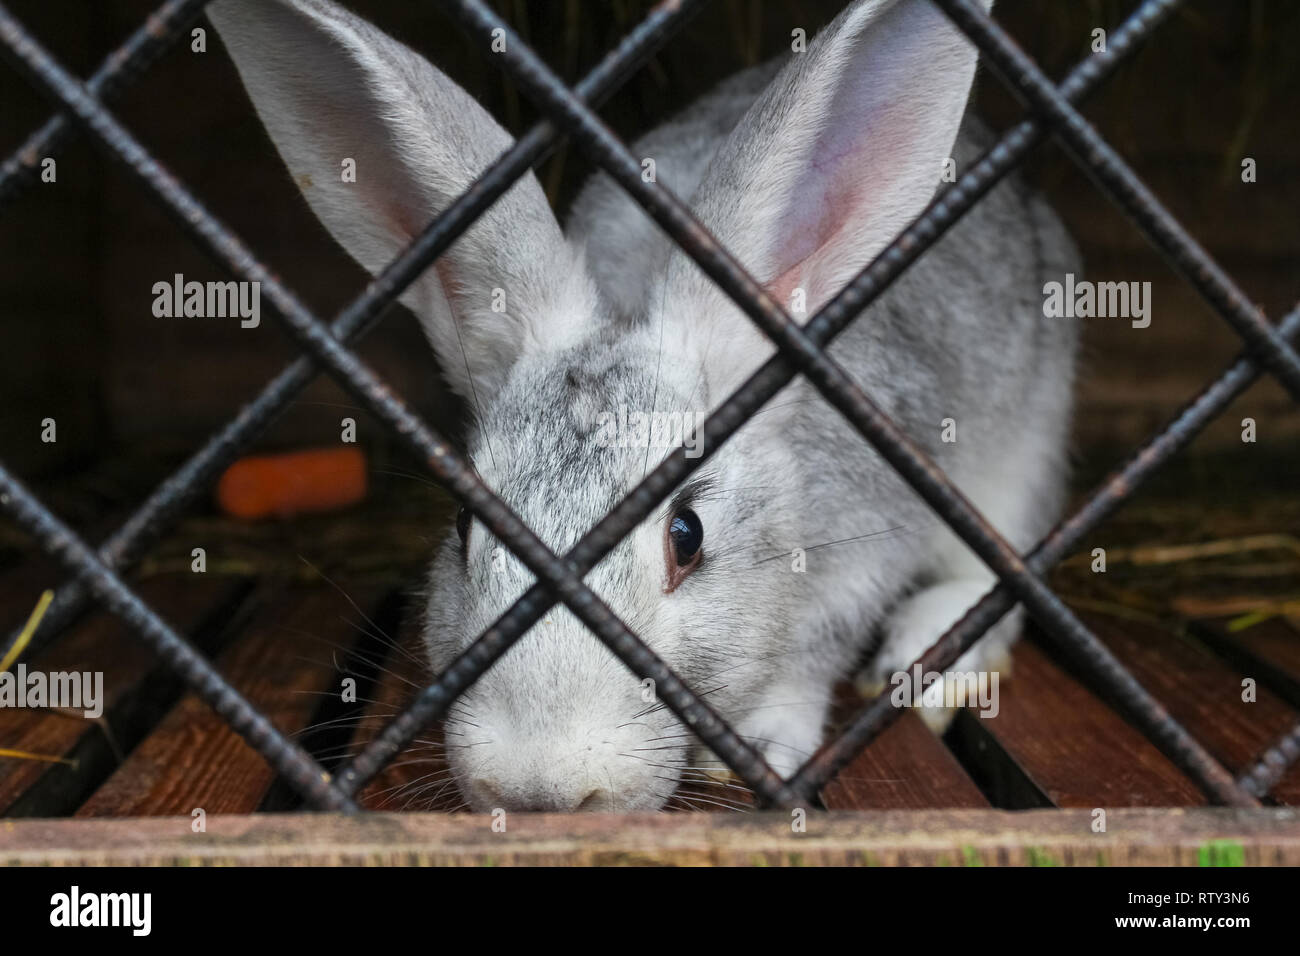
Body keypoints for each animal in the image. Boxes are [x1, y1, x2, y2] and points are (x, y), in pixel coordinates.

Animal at [209, 0, 1079, 812]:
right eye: (465, 526)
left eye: (686, 536)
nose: (537, 793)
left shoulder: (862, 555)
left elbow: (810, 662)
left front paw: (765, 741)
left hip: (1024, 449)